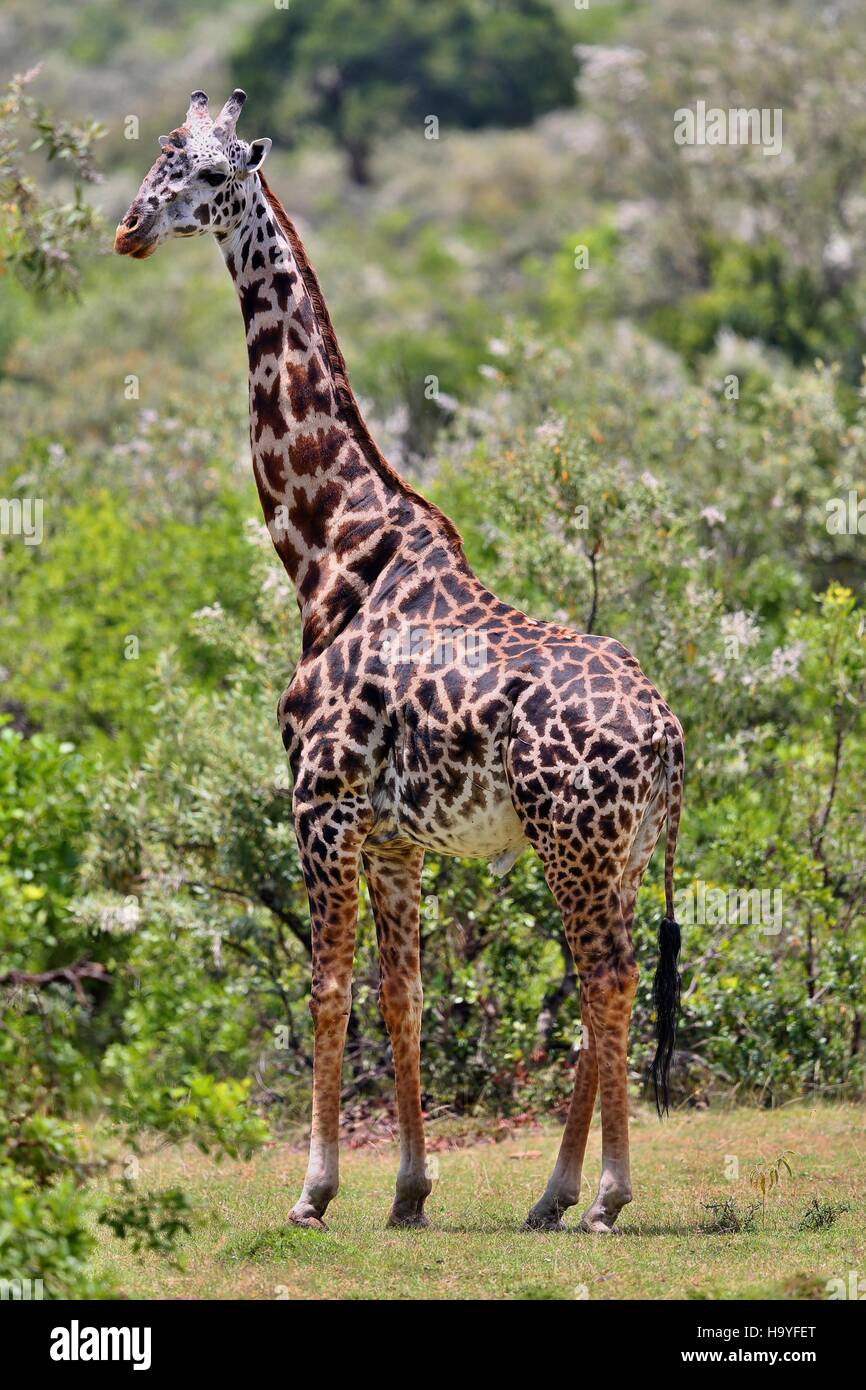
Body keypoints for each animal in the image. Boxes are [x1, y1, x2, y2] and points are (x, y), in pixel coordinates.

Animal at [116, 90, 685, 1235]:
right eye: (160, 157)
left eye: (208, 176)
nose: (131, 228)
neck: (329, 548)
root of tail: (668, 739)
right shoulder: (394, 836)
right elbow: (401, 993)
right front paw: (410, 1191)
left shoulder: (319, 805)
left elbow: (327, 989)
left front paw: (314, 1189)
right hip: (621, 849)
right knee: (603, 976)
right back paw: (551, 1194)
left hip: (572, 840)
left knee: (603, 975)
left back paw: (602, 1196)